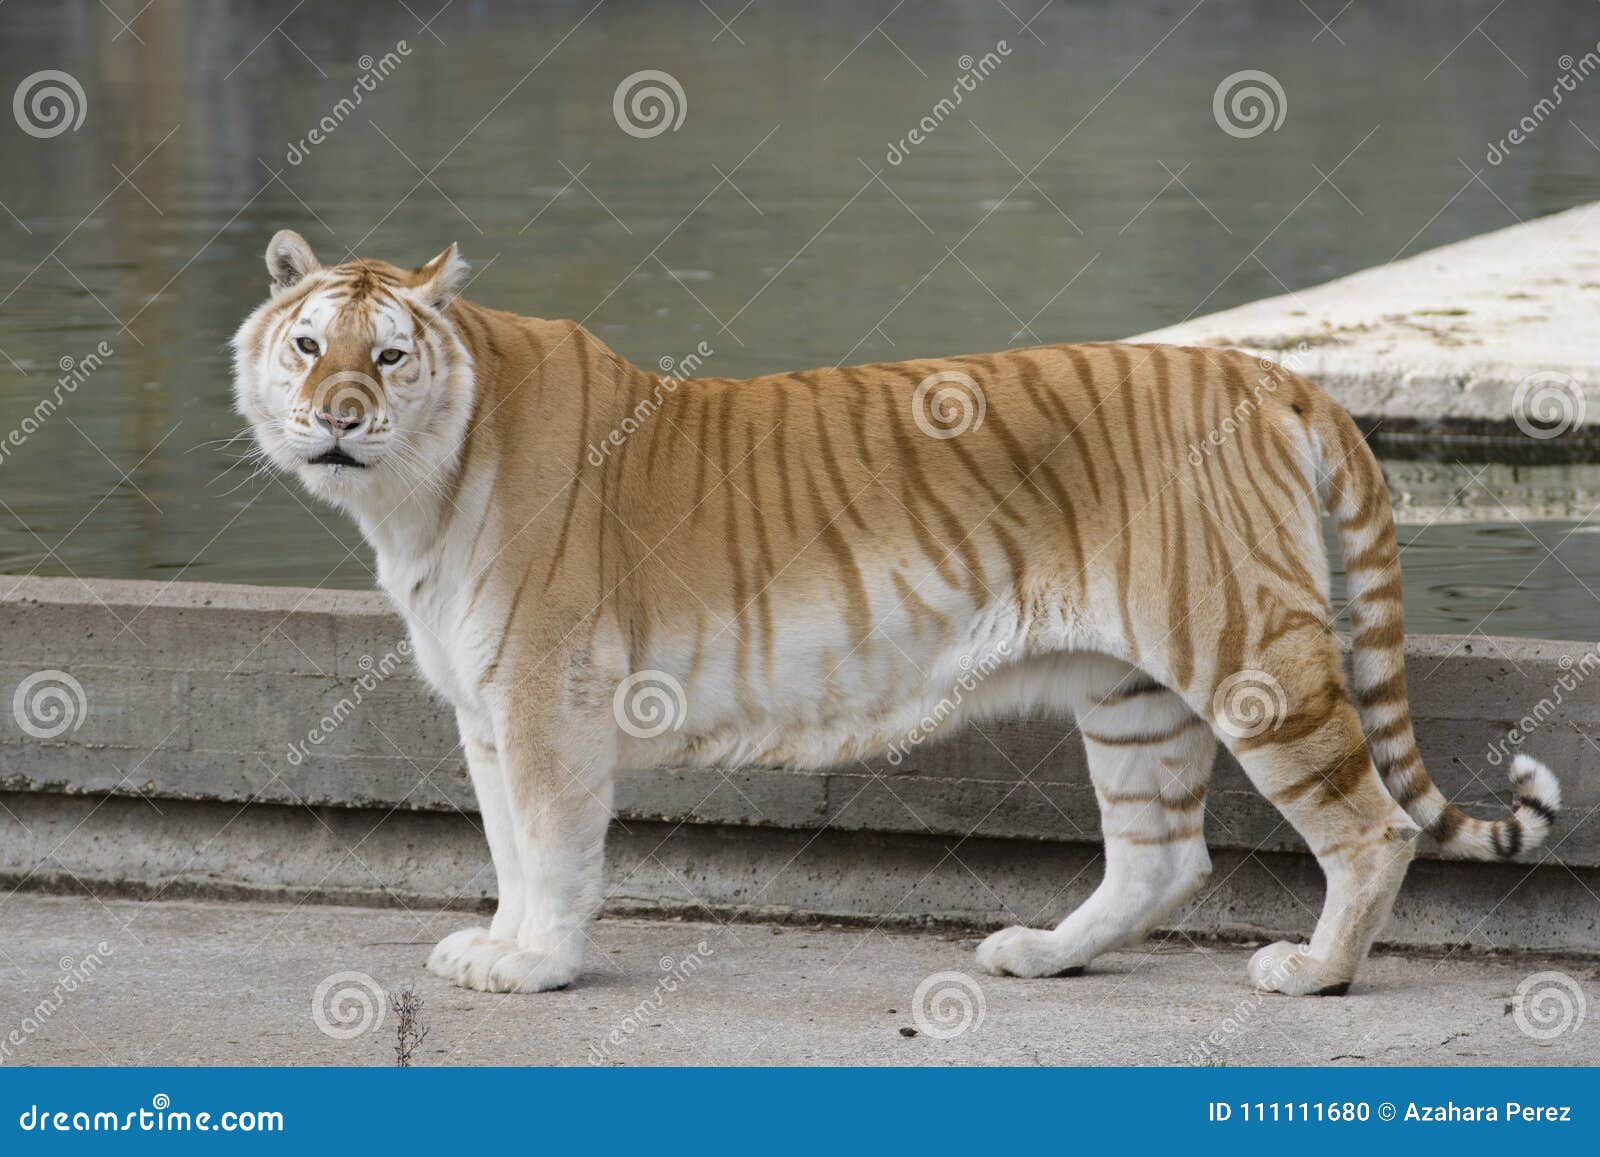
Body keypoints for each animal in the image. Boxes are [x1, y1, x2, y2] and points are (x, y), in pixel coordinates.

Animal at [233, 229, 1561, 996]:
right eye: (306, 344)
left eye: (386, 356)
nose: (339, 416)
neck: (413, 493)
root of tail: (1263, 366)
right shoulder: (487, 706)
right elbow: (508, 842)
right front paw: (499, 945)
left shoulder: (544, 694)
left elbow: (551, 844)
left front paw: (538, 966)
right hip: (1130, 690)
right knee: (1162, 853)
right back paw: (1039, 954)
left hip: (1247, 655)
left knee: (1370, 826)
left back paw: (1313, 972)